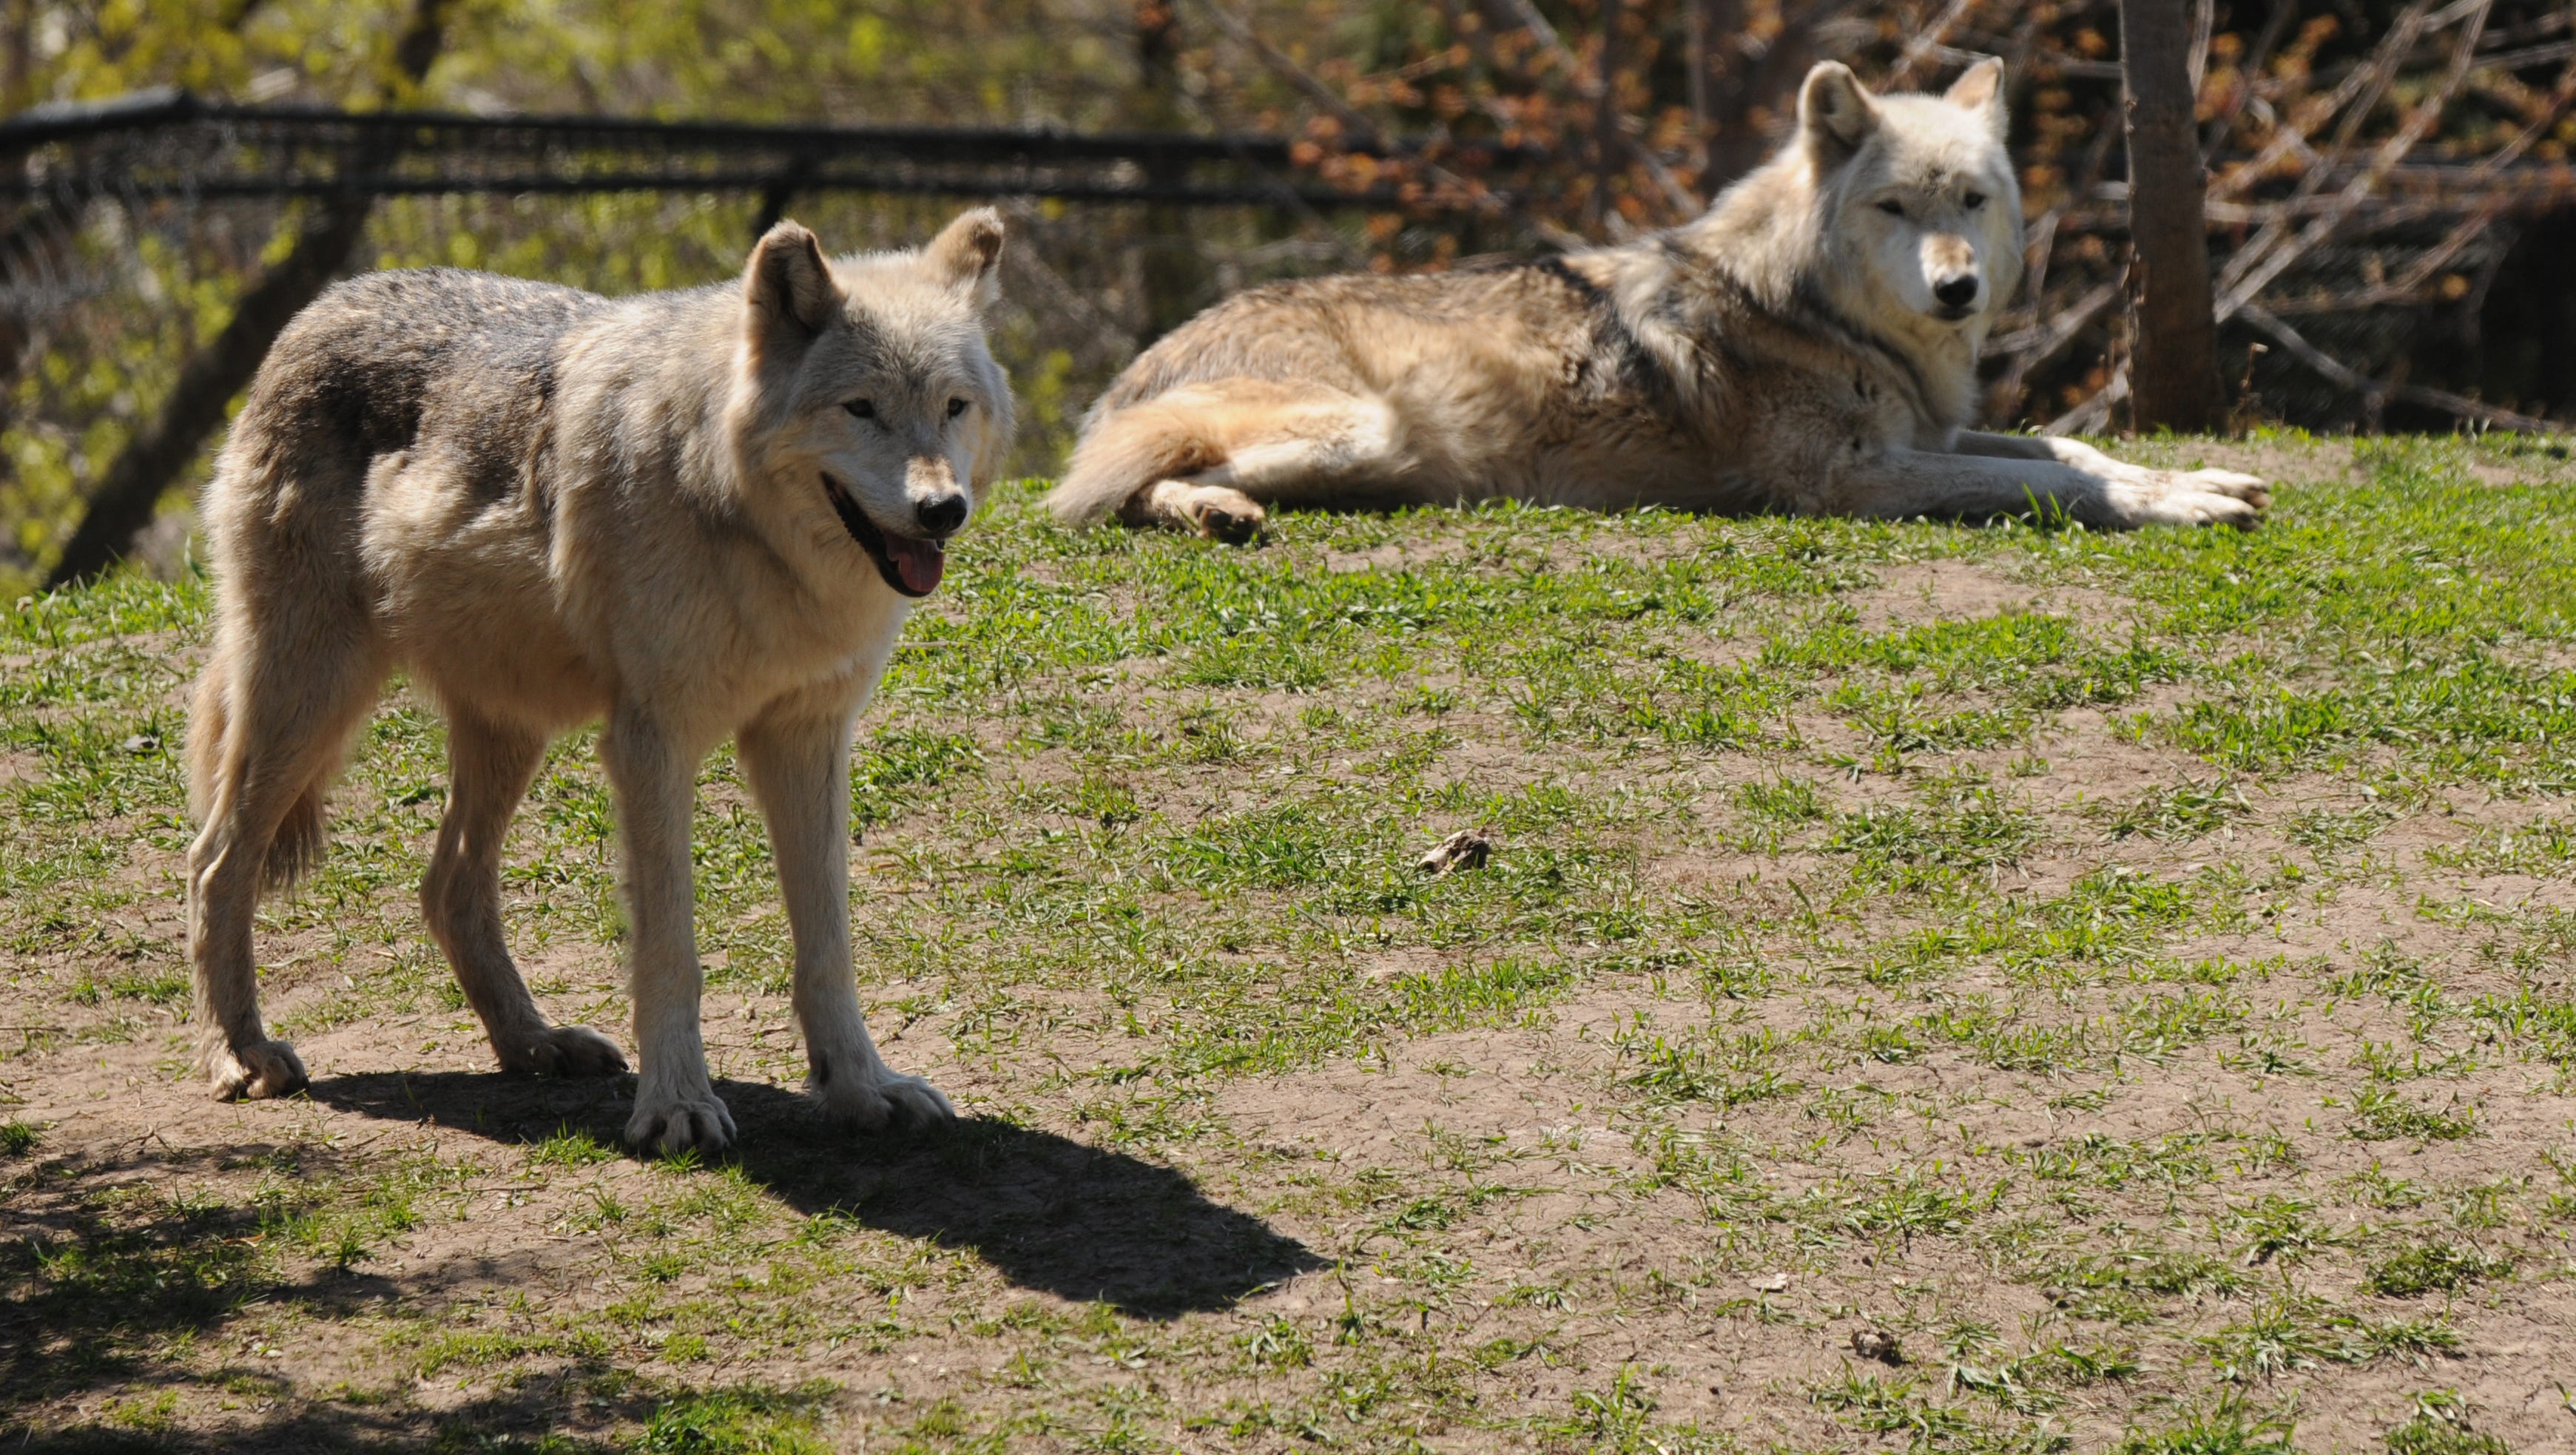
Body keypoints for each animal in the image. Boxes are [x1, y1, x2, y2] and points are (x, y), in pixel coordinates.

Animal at [183, 209, 1013, 1154]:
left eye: (952, 405)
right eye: (861, 407)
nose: (941, 510)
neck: (731, 511)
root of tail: (321, 304)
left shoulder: (805, 735)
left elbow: (828, 942)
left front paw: (862, 1085)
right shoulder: (652, 742)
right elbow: (669, 949)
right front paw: (677, 1105)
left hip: (508, 722)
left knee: (448, 884)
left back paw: (534, 1042)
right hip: (311, 699)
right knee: (215, 863)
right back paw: (240, 1053)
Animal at [1050, 58, 2268, 539]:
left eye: (1970, 199)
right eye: (1892, 207)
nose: (1956, 286)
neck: (1817, 313)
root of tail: (1138, 364)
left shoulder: (1931, 433)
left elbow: (2075, 453)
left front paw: (2200, 477)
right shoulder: (1850, 481)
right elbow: (2054, 485)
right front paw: (2180, 504)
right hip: (1361, 430)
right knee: (1104, 492)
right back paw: (1209, 512)